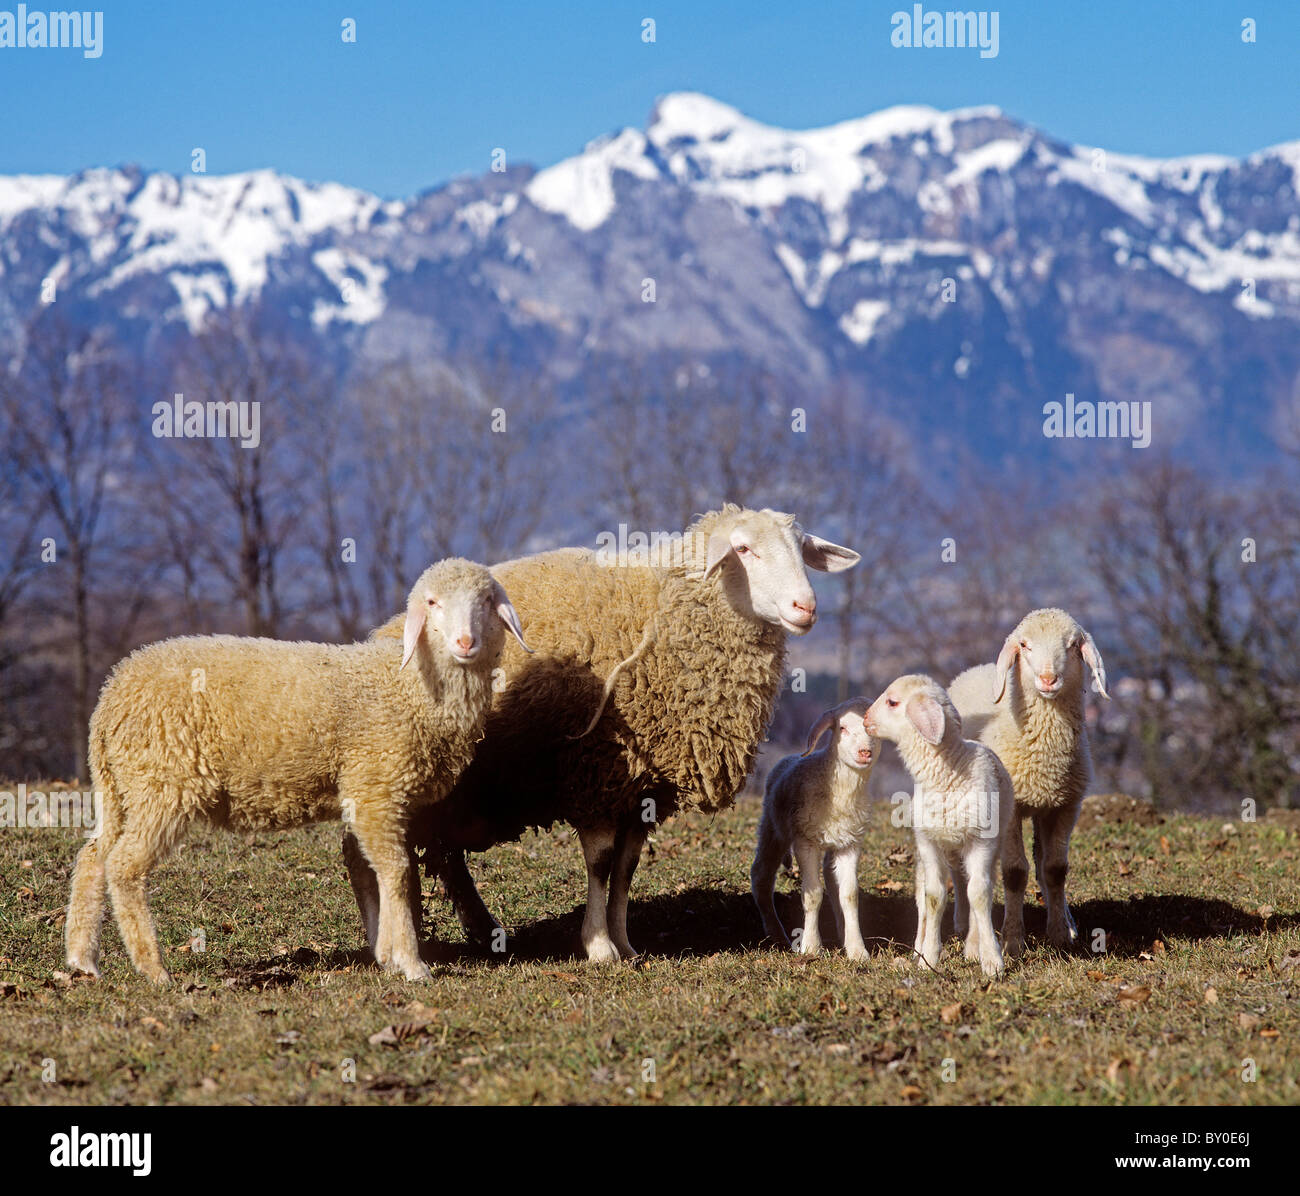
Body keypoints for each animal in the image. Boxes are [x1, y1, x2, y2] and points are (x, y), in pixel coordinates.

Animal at [63, 558, 529, 984]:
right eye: (432, 603)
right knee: (124, 866)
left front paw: (387, 954)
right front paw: (411, 964)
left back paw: (82, 959)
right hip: (163, 782)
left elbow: (374, 870)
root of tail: (111, 694)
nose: (465, 641)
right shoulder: (376, 787)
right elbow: (397, 872)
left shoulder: (370, 793)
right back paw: (153, 968)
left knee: (93, 856)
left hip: (124, 785)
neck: (410, 685)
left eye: (487, 601)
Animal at [344, 505, 861, 962]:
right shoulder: (596, 774)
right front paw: (598, 947)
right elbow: (598, 863)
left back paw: (478, 928)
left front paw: (625, 941)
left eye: (801, 548)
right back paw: (385, 942)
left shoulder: (644, 789)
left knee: (442, 858)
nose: (806, 607)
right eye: (744, 549)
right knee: (365, 856)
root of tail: (381, 633)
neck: (662, 612)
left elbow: (625, 869)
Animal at [751, 698, 878, 960]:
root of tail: (788, 758)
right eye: (842, 728)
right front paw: (810, 946)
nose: (865, 752)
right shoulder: (805, 841)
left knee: (831, 879)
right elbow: (813, 894)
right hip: (773, 829)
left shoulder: (850, 844)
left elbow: (849, 895)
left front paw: (857, 949)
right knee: (761, 876)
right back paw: (776, 933)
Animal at [864, 675, 1013, 977]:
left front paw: (991, 960)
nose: (865, 719)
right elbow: (933, 896)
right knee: (935, 892)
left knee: (975, 886)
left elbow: (979, 894)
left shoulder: (981, 841)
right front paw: (929, 958)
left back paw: (972, 945)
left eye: (892, 702)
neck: (948, 773)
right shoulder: (928, 842)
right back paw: (921, 945)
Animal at [946, 608, 1108, 957]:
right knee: (959, 864)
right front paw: (1013, 940)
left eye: (1073, 644)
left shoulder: (1065, 806)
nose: (1048, 679)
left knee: (1040, 860)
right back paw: (964, 924)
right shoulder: (1010, 809)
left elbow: (1054, 869)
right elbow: (1015, 873)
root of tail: (975, 668)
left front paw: (1059, 934)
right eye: (1024, 645)